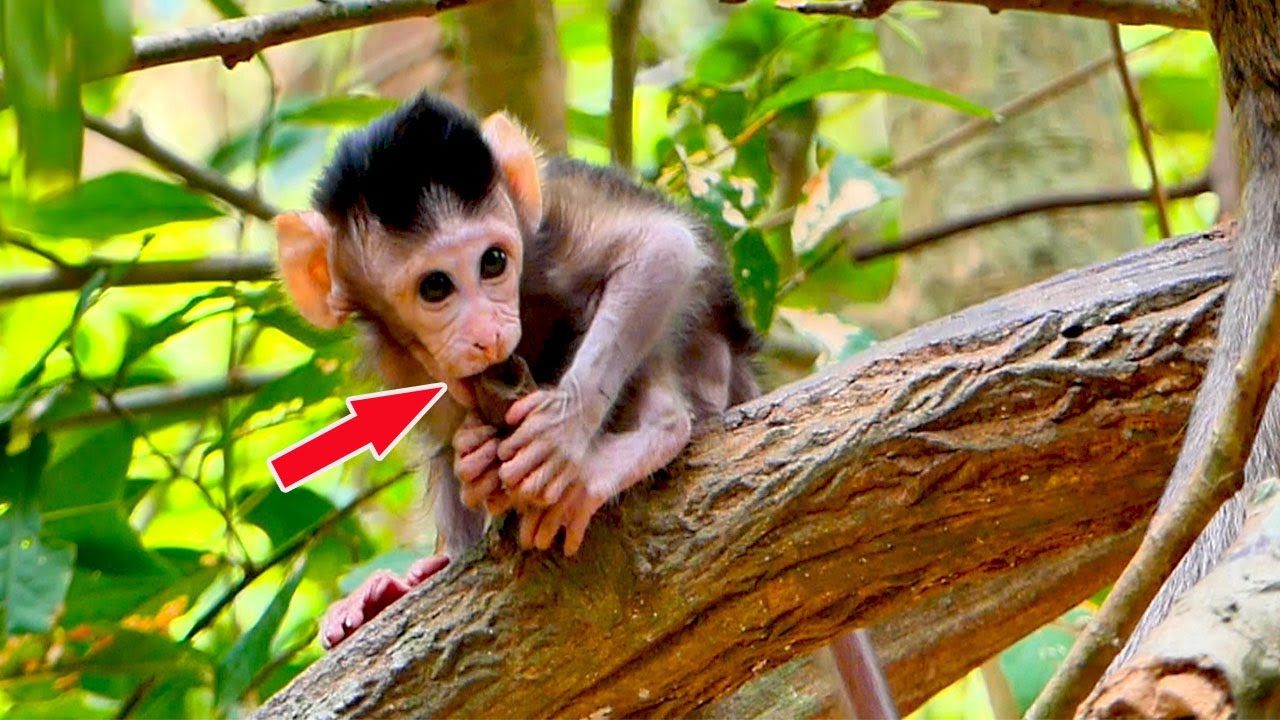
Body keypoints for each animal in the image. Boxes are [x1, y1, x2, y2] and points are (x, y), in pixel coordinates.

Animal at [272, 92, 761, 650]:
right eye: (435, 287)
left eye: (493, 262)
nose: (488, 333)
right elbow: (441, 432)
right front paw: (473, 462)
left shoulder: (555, 230)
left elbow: (662, 247)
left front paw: (561, 435)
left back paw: (652, 434)